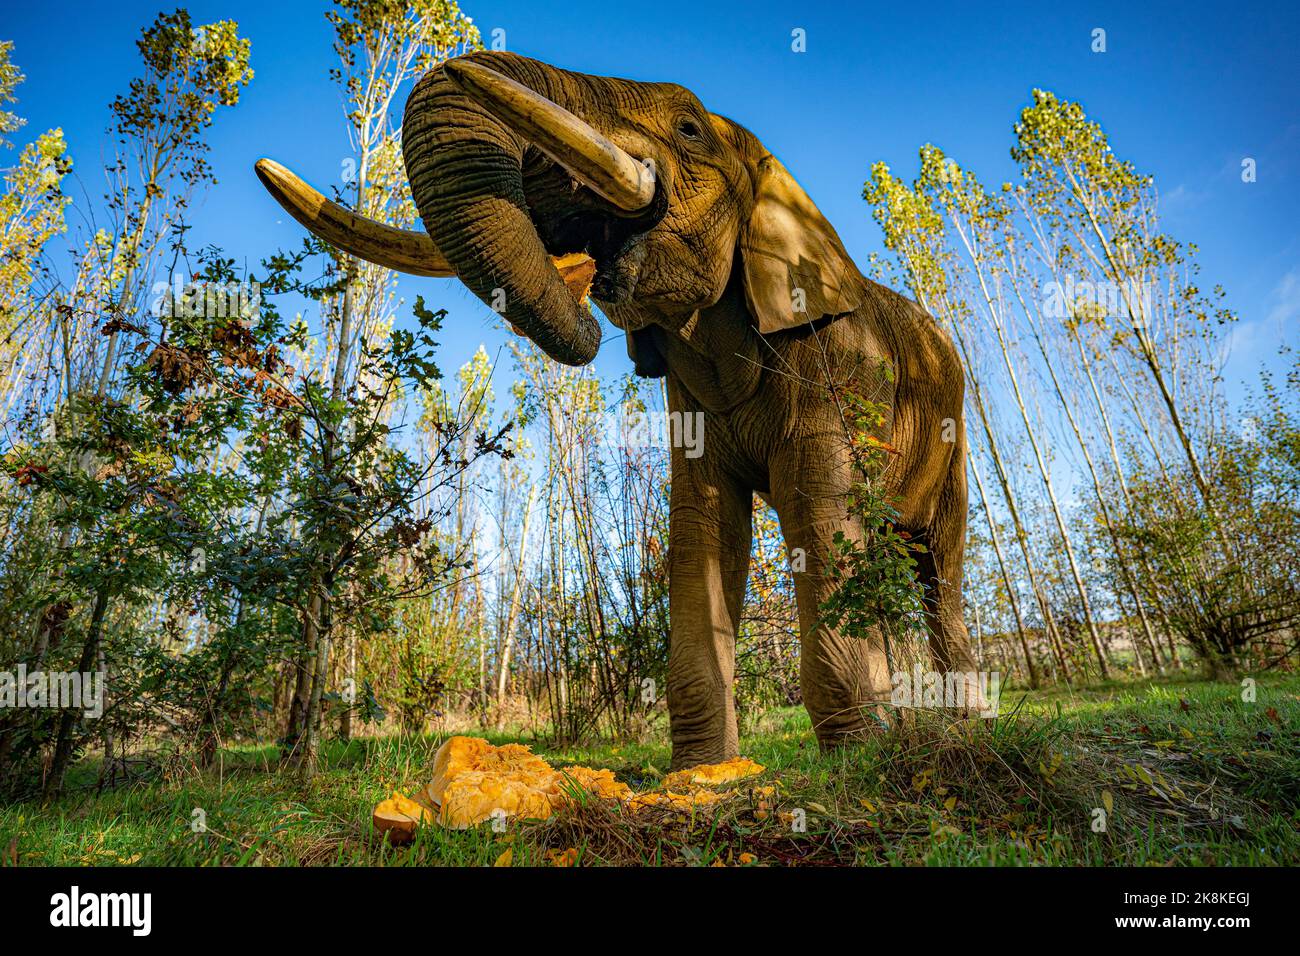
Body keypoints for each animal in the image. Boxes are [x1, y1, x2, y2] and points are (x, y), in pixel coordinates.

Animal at [256, 51, 981, 770]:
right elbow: (702, 529)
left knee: (937, 570)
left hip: (956, 442)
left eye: (689, 129)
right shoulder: (690, 403)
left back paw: (963, 728)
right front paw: (704, 770)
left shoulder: (835, 369)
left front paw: (856, 761)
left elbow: (817, 515)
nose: (586, 280)